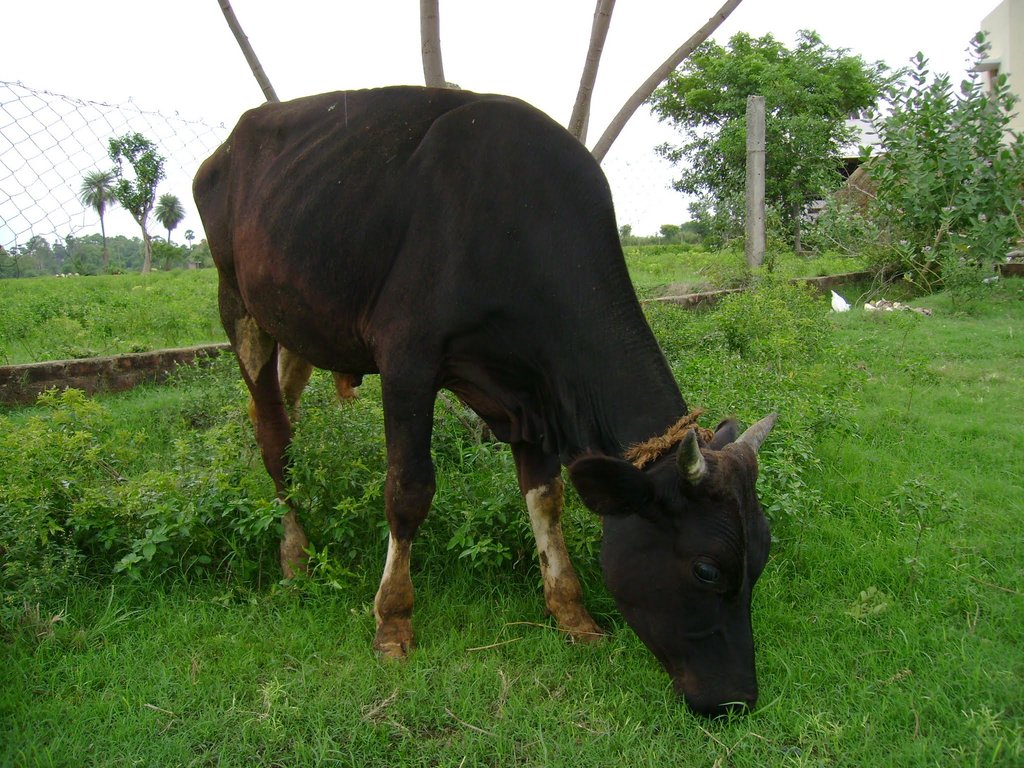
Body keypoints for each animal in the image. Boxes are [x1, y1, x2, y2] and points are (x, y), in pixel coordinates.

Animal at [193, 86, 777, 717]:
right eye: (706, 570)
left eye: (762, 557)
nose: (737, 699)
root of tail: (232, 139)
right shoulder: (407, 358)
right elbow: (408, 490)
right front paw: (392, 621)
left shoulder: (530, 393)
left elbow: (546, 498)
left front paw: (571, 612)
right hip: (237, 303)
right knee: (274, 435)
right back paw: (296, 555)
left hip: (300, 321)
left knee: (282, 411)